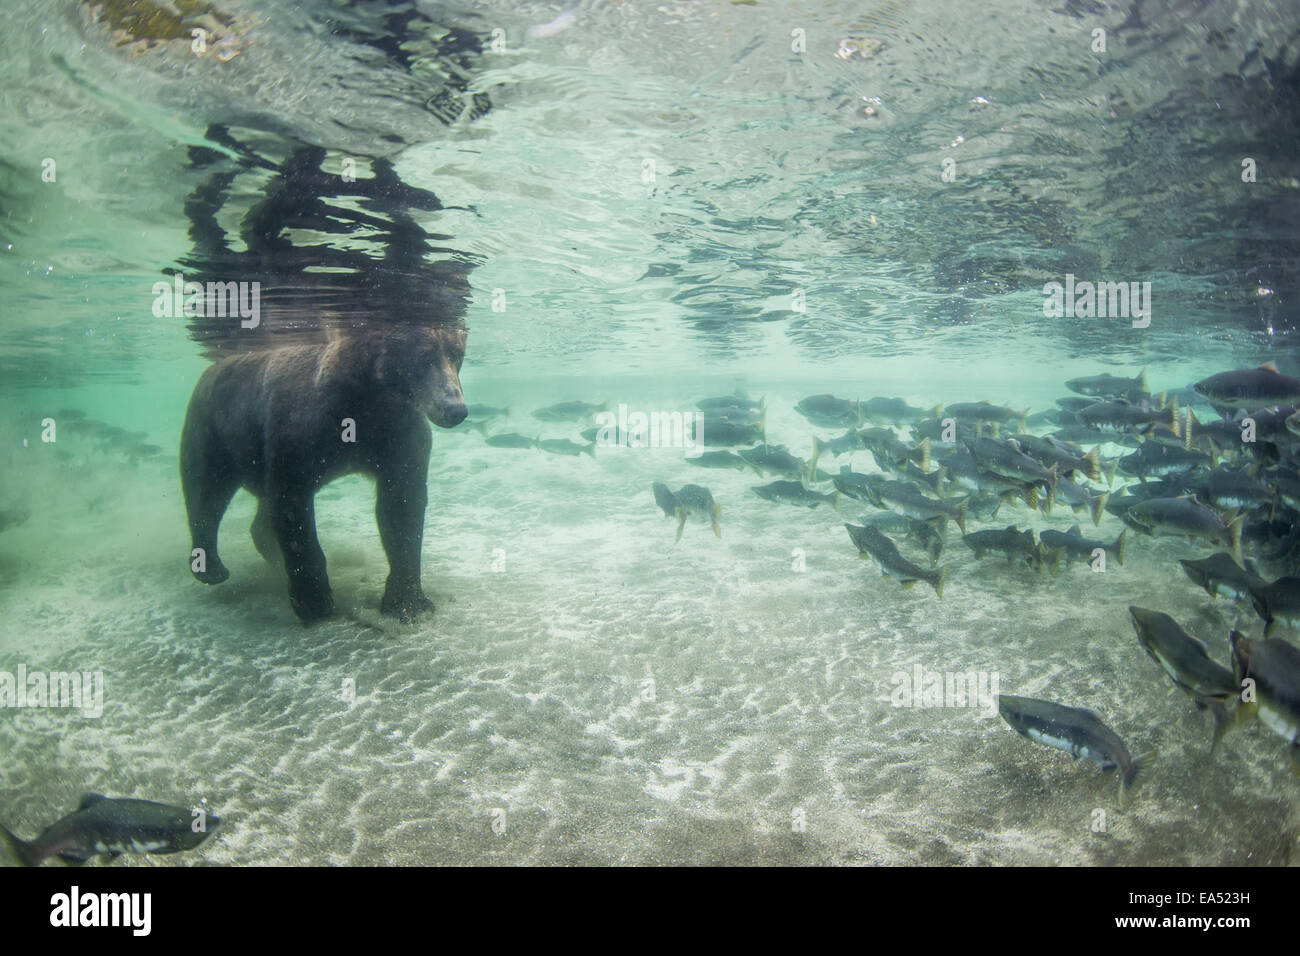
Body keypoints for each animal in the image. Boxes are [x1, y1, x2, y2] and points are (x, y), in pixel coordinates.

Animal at [179, 323, 467, 624]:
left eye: (457, 354)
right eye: (425, 357)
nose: (456, 409)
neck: (364, 399)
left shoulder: (398, 433)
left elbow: (402, 505)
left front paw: (409, 602)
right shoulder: (301, 429)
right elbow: (293, 506)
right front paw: (315, 601)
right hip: (213, 427)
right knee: (206, 489)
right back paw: (212, 567)